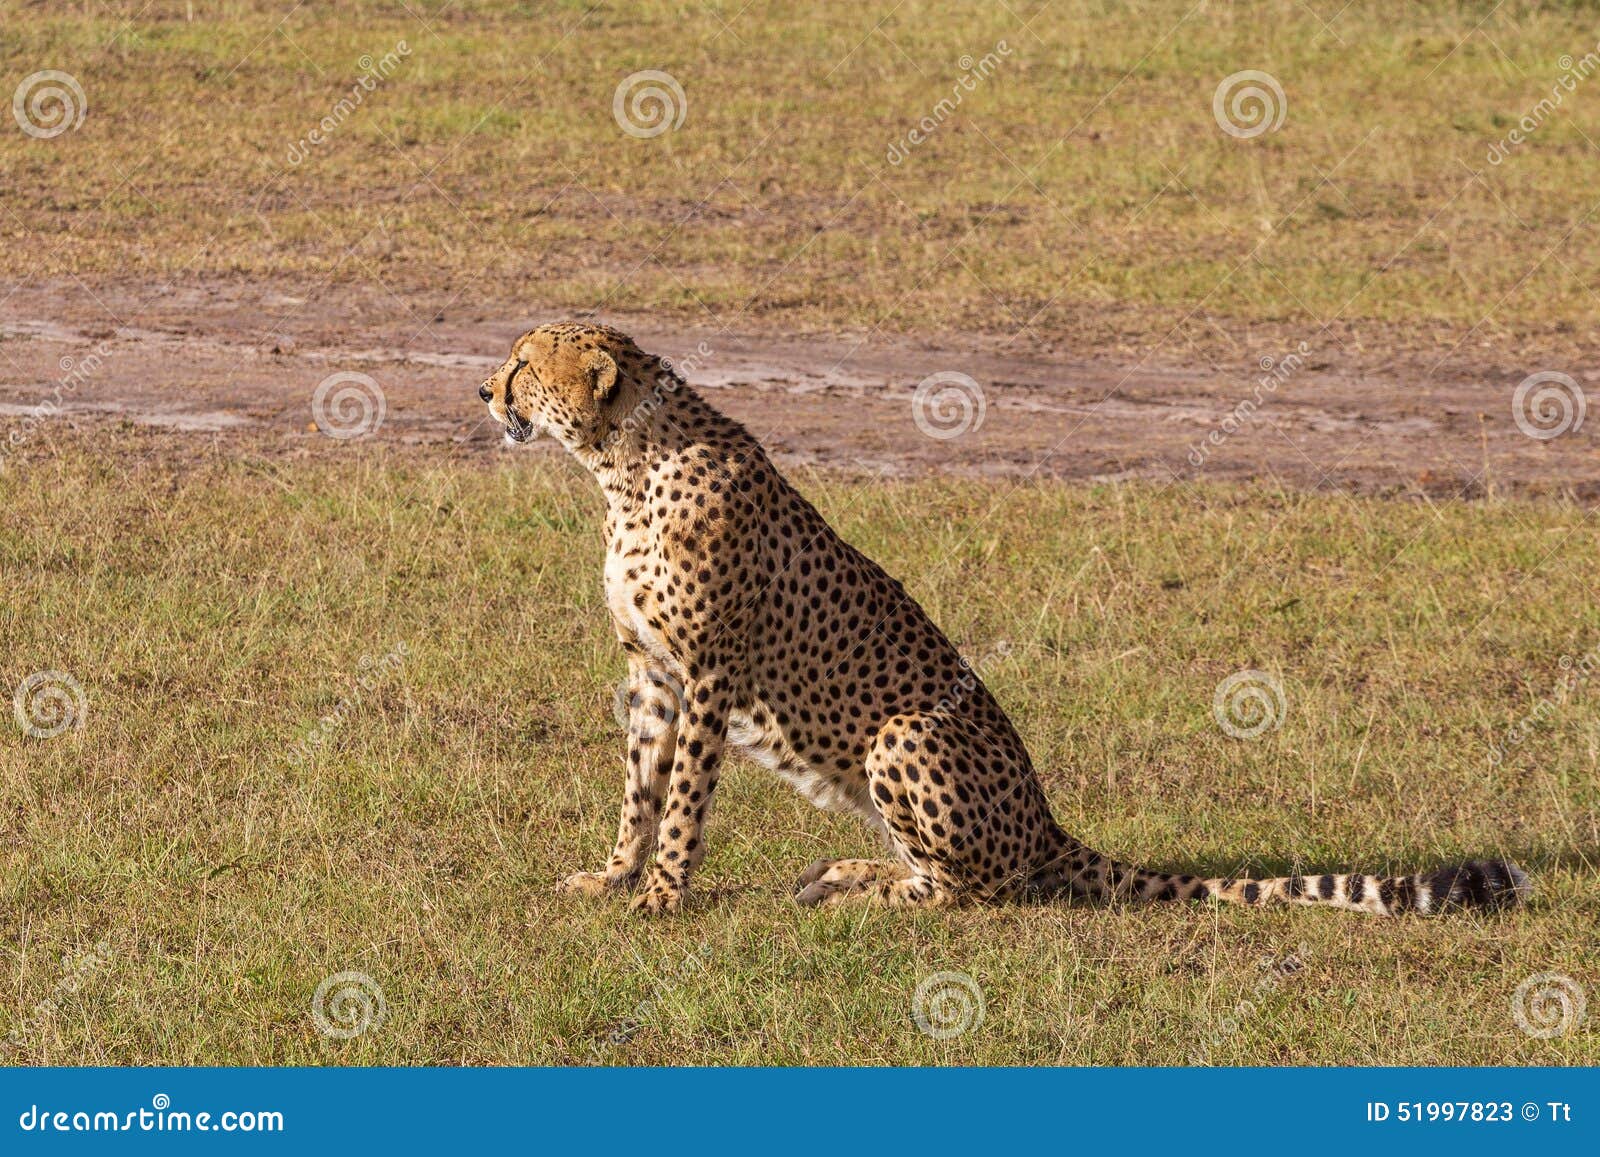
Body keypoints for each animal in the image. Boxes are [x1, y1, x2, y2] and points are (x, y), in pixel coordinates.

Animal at [479, 321, 1530, 918]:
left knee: (972, 890)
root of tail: (1049, 820)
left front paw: (662, 895)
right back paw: (846, 872)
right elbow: (639, 789)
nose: (484, 390)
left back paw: (862, 892)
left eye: (525, 362)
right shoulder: (651, 671)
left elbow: (685, 799)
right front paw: (615, 876)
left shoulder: (709, 673)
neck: (621, 465)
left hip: (904, 732)